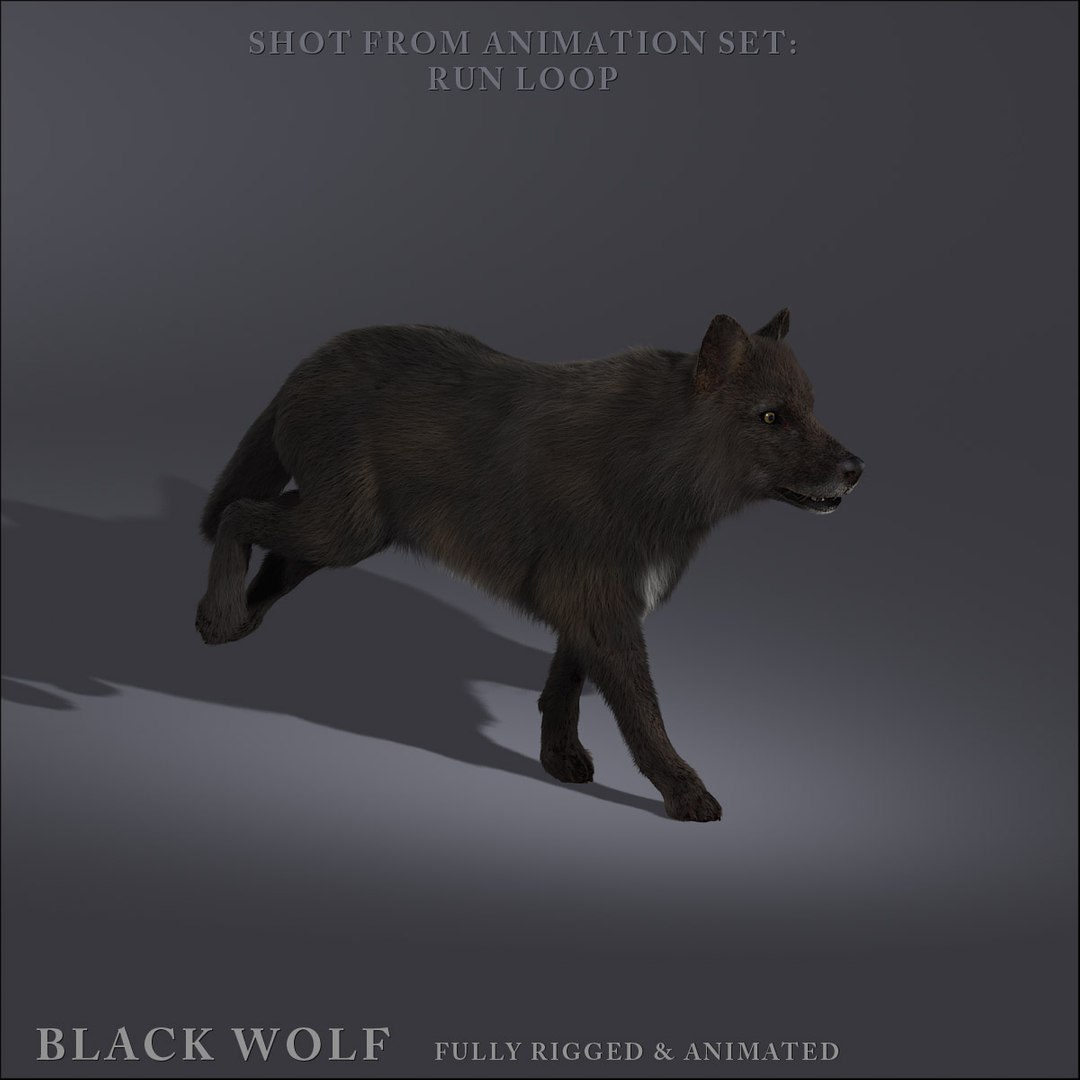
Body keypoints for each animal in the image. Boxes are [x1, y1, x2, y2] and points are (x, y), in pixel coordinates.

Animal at [196, 310, 863, 821]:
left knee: (269, 544)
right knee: (234, 513)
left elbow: (563, 687)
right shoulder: (602, 606)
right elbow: (643, 715)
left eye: (811, 408)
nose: (857, 469)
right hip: (342, 530)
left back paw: (238, 619)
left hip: (345, 534)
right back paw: (216, 618)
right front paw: (684, 792)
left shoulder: (588, 603)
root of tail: (308, 362)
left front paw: (558, 758)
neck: (654, 457)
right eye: (772, 416)